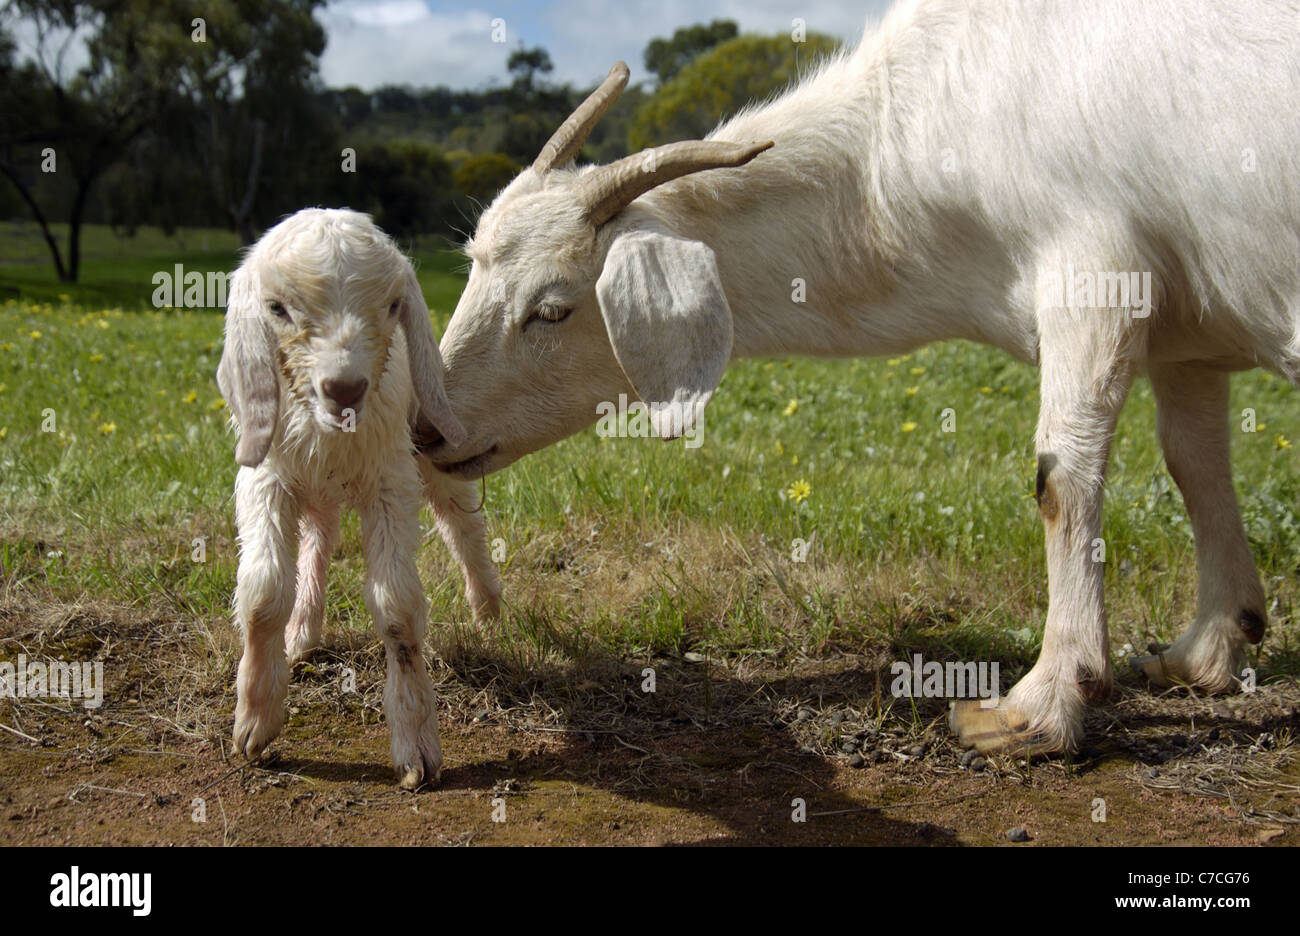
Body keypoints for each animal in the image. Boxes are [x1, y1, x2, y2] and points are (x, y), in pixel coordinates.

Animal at [217, 208, 500, 788]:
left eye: (392, 306)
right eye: (277, 309)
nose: (344, 390)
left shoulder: (391, 480)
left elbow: (396, 607)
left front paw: (415, 743)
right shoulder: (265, 477)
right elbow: (262, 592)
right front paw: (255, 720)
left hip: (429, 440)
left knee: (462, 522)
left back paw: (488, 609)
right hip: (314, 484)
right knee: (319, 538)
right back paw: (302, 631)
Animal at [425, 0, 1300, 754]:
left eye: (551, 308)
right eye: (472, 264)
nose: (430, 430)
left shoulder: (1093, 274)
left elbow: (1062, 477)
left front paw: (1040, 705)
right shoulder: (1186, 336)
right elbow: (1195, 464)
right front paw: (1207, 648)